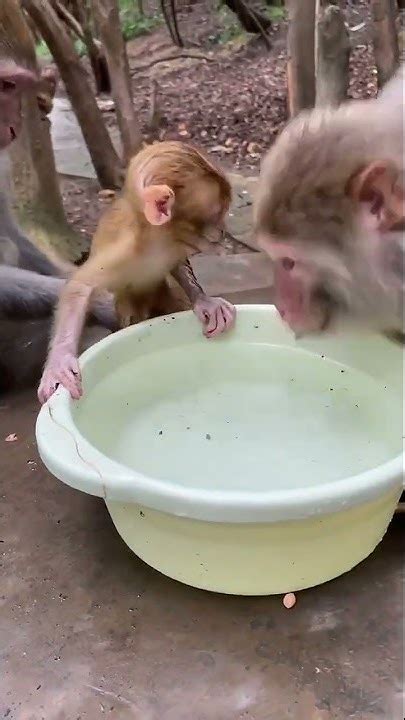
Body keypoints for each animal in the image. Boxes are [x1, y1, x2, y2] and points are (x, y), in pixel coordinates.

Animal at [38, 141, 236, 404]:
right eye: (218, 212)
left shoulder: (175, 246)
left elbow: (177, 265)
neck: (158, 241)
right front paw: (59, 364)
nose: (223, 230)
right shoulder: (122, 252)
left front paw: (205, 302)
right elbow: (79, 287)